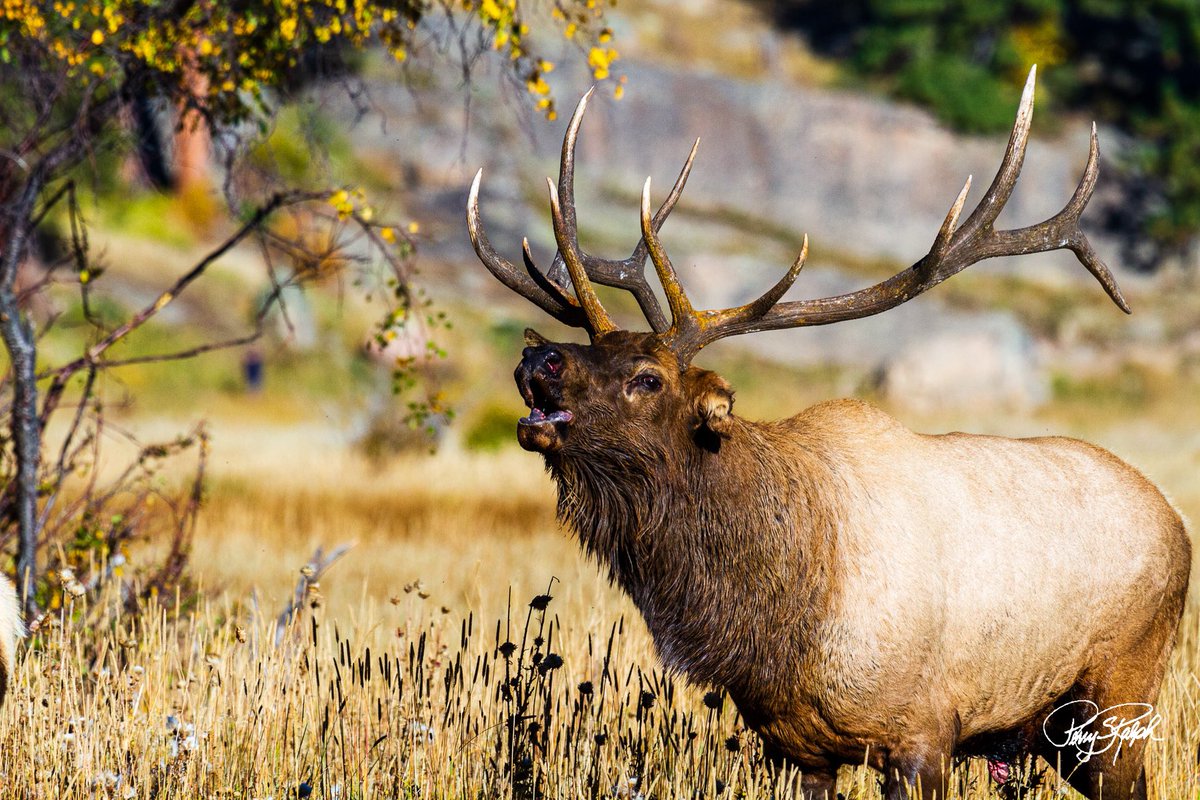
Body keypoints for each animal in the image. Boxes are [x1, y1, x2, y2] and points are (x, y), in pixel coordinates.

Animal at [466, 67, 1191, 800]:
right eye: (592, 348)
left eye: (648, 378)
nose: (539, 358)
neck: (779, 622)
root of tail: (1176, 521)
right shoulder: (795, 747)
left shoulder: (925, 732)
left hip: (1120, 695)